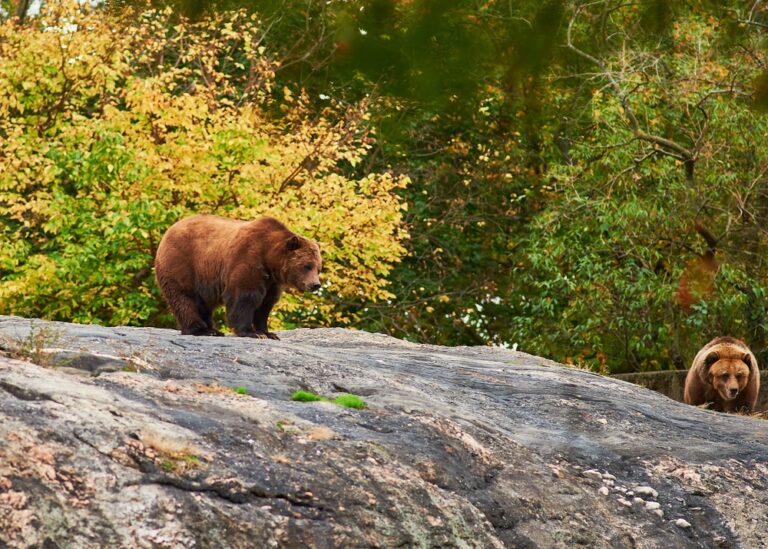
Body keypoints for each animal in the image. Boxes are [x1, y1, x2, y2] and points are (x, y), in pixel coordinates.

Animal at [154, 214, 322, 339]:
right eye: (307, 266)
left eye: (318, 268)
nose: (315, 285)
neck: (269, 258)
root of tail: (169, 231)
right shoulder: (247, 259)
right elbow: (244, 296)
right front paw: (250, 332)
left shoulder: (272, 281)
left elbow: (265, 304)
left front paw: (268, 333)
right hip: (183, 264)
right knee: (185, 298)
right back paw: (200, 329)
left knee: (204, 303)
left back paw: (213, 330)